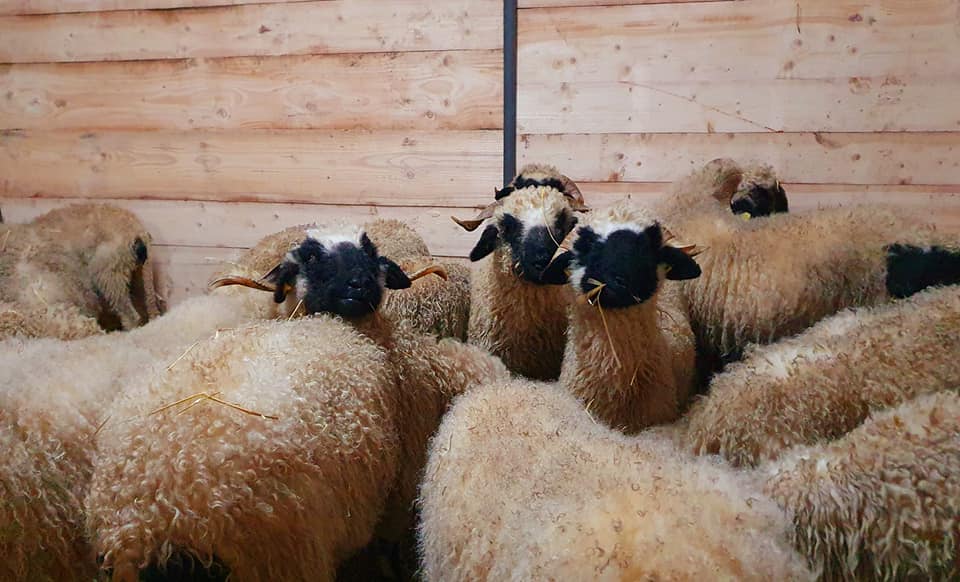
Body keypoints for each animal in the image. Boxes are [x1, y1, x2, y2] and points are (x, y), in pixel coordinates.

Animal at [87, 222, 509, 582]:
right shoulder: (395, 495)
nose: (360, 284)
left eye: (371, 253)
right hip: (288, 558)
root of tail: (161, 517)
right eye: (310, 257)